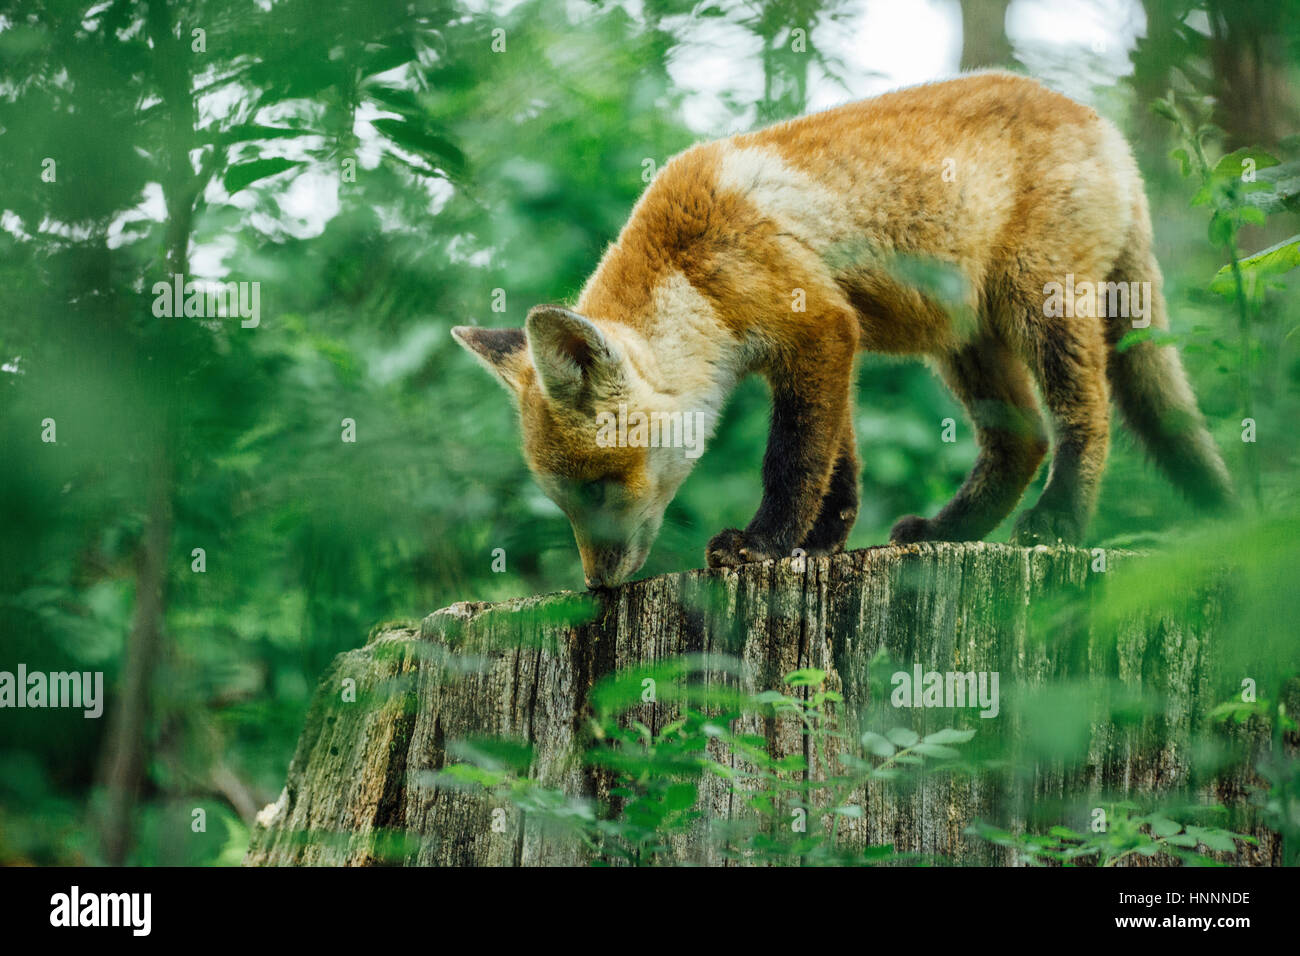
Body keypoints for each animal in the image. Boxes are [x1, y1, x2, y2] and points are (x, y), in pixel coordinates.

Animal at [453, 71, 1233, 588]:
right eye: (567, 502)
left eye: (596, 492)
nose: (596, 586)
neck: (690, 273)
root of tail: (1105, 128)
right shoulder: (824, 345)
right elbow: (839, 465)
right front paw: (820, 542)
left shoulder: (820, 327)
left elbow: (795, 458)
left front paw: (764, 543)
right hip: (964, 341)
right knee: (1022, 440)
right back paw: (950, 532)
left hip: (1039, 304)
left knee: (1084, 418)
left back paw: (1059, 521)